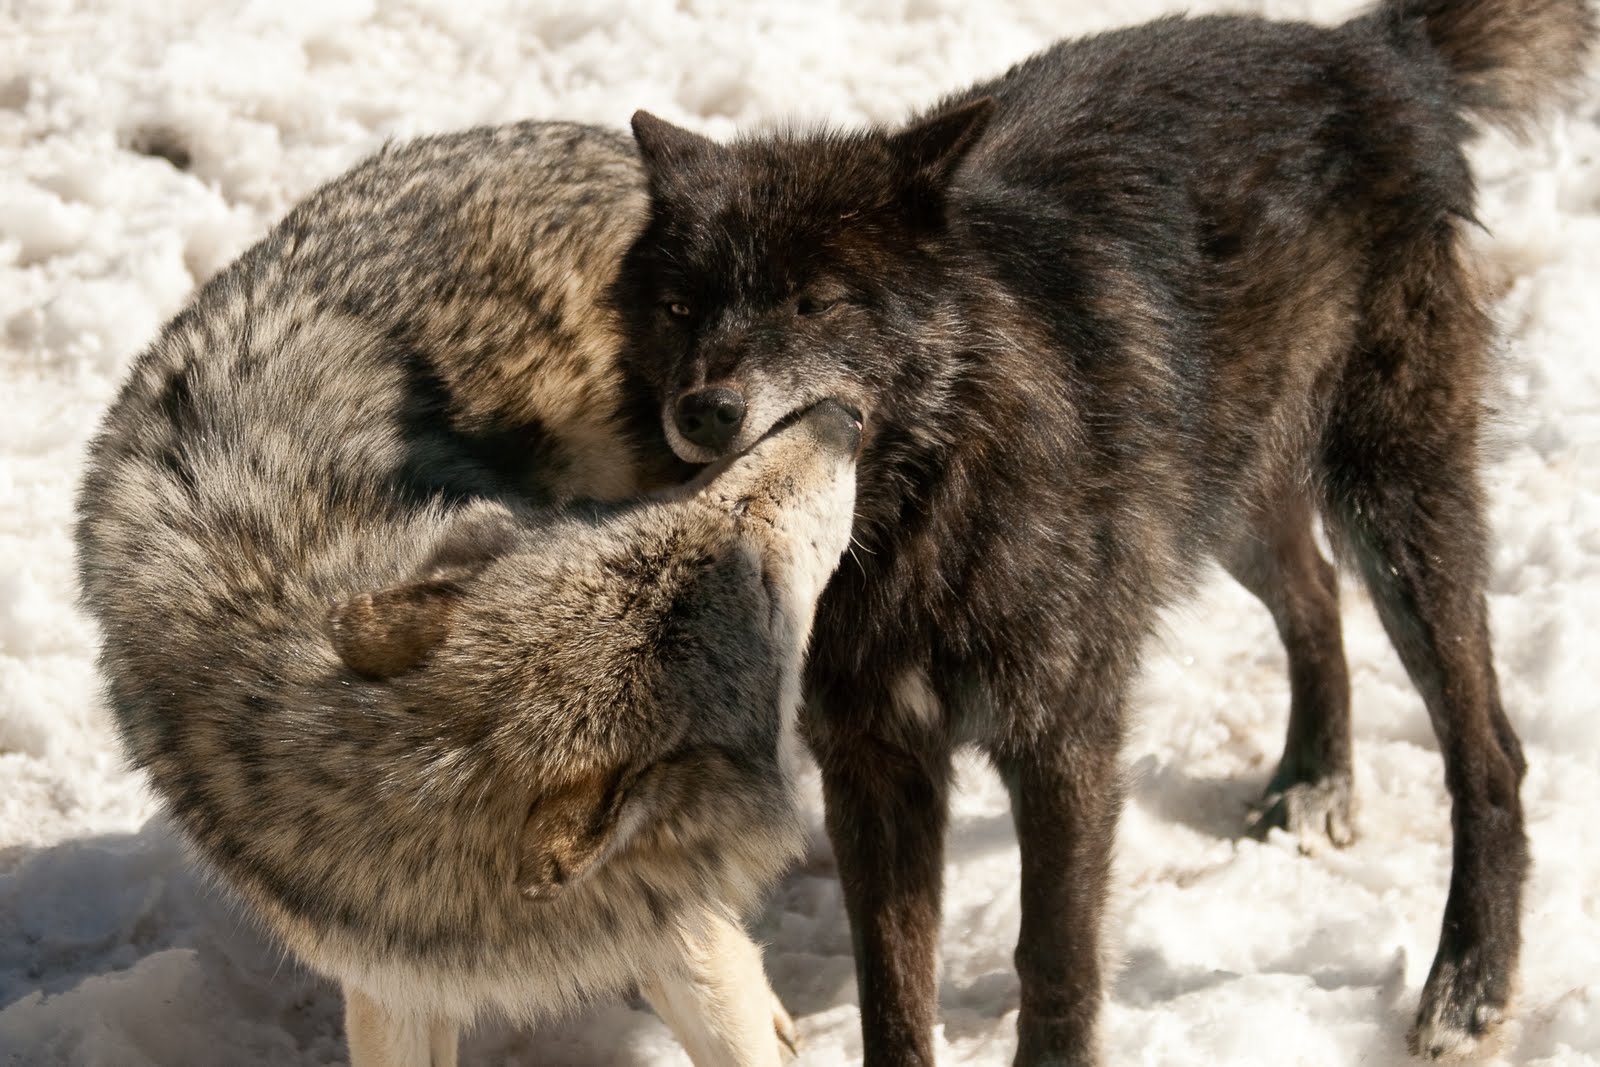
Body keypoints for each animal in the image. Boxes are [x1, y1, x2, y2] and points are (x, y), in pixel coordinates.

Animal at [75, 120, 861, 1067]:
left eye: (740, 527)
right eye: (758, 560)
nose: (838, 421)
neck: (425, 765)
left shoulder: (670, 922)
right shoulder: (398, 980)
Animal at [613, 0, 1596, 1062]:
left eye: (815, 300)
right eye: (679, 306)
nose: (704, 410)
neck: (920, 512)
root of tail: (1368, 51)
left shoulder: (1065, 737)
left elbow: (1054, 955)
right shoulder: (874, 758)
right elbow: (893, 982)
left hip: (1395, 507)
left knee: (1490, 749)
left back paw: (1469, 981)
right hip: (1222, 495)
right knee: (1316, 594)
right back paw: (1318, 782)